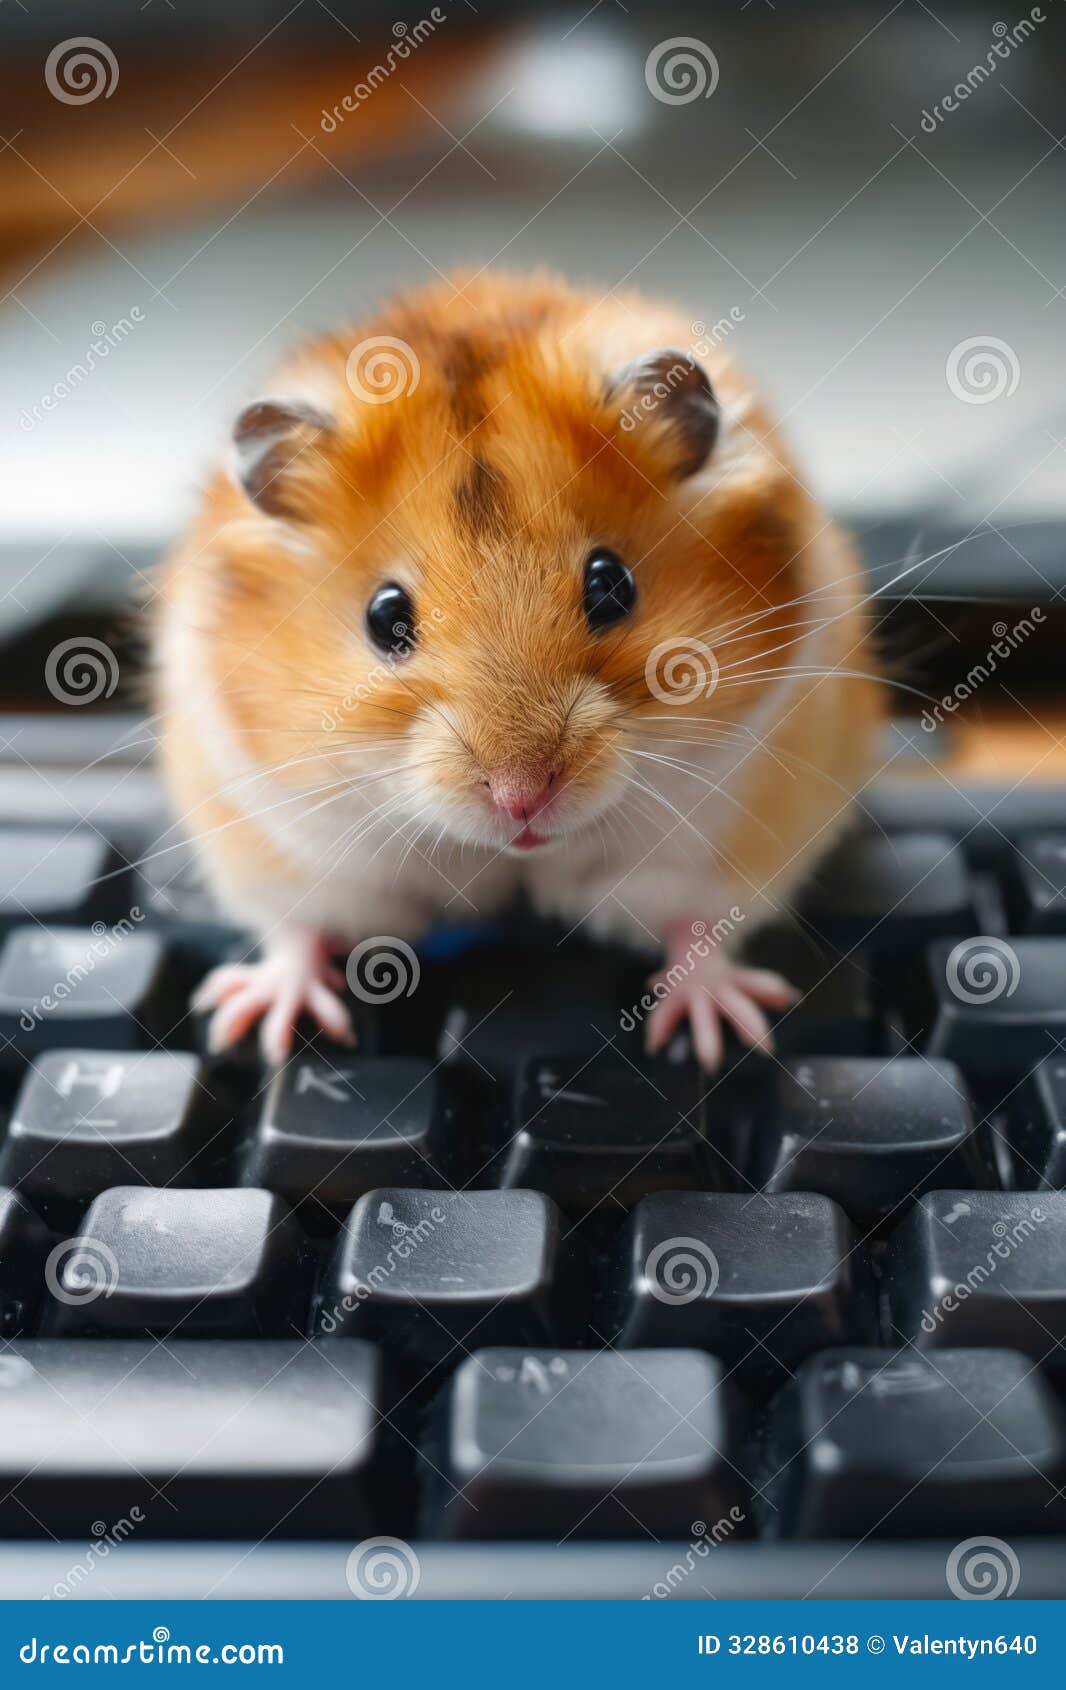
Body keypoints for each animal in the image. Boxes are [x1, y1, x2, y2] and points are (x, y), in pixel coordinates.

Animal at [153, 270, 881, 1068]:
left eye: (611, 584)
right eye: (385, 617)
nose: (521, 800)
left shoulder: (719, 849)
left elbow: (698, 932)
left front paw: (719, 1035)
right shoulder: (283, 845)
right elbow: (297, 930)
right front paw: (256, 1025)